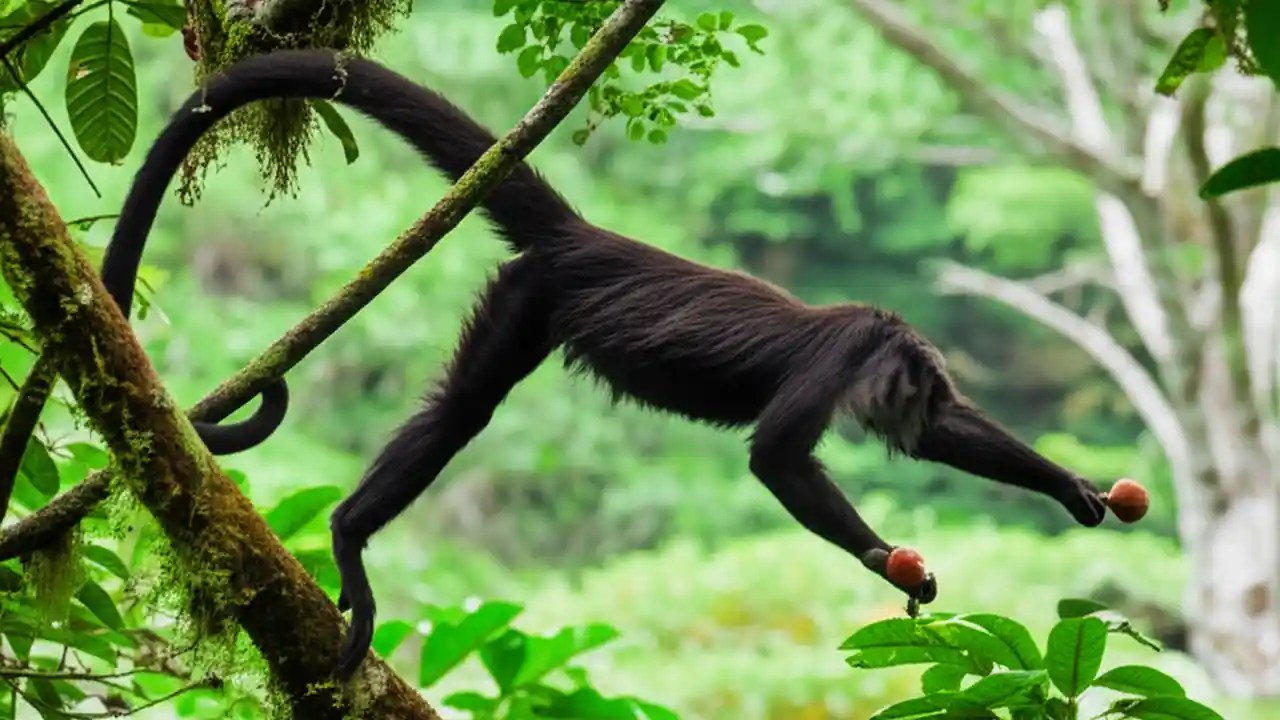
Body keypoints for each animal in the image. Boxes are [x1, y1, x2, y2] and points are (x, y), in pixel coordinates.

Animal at [108, 49, 1108, 681]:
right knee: (464, 415)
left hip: (527, 303)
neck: (876, 349)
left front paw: (1070, 487)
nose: (910, 407)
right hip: (535, 290)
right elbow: (776, 458)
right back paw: (351, 539)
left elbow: (949, 444)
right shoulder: (840, 357)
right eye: (909, 385)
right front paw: (884, 561)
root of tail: (586, 237)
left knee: (463, 407)